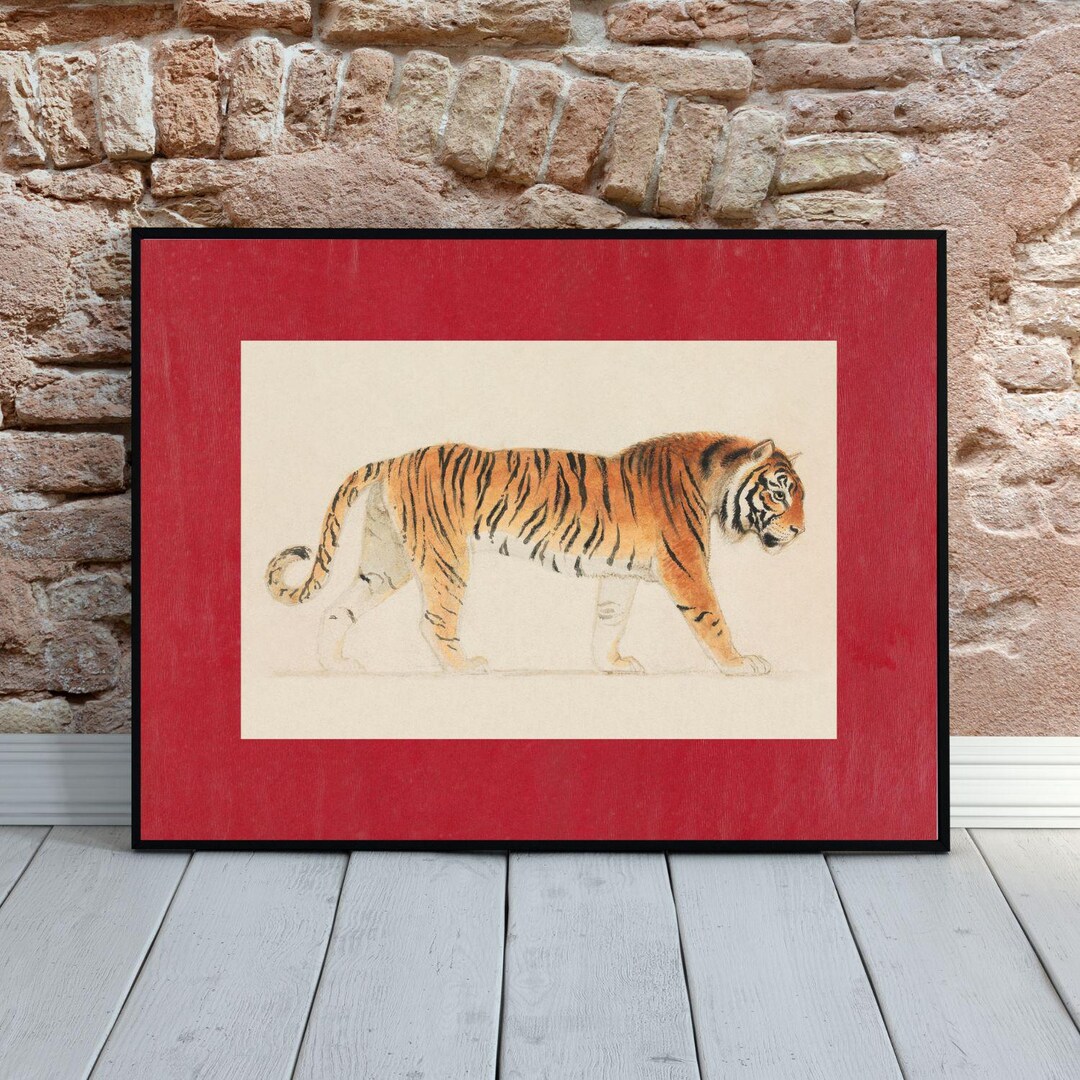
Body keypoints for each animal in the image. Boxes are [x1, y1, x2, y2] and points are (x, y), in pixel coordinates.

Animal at [265, 432, 804, 676]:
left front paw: (611, 665)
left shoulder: (622, 573)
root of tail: (395, 459)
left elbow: (609, 619)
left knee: (339, 609)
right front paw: (741, 664)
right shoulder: (686, 567)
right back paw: (465, 666)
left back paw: (336, 665)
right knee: (432, 619)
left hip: (387, 561)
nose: (800, 530)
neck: (716, 481)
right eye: (779, 492)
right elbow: (713, 619)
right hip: (445, 556)